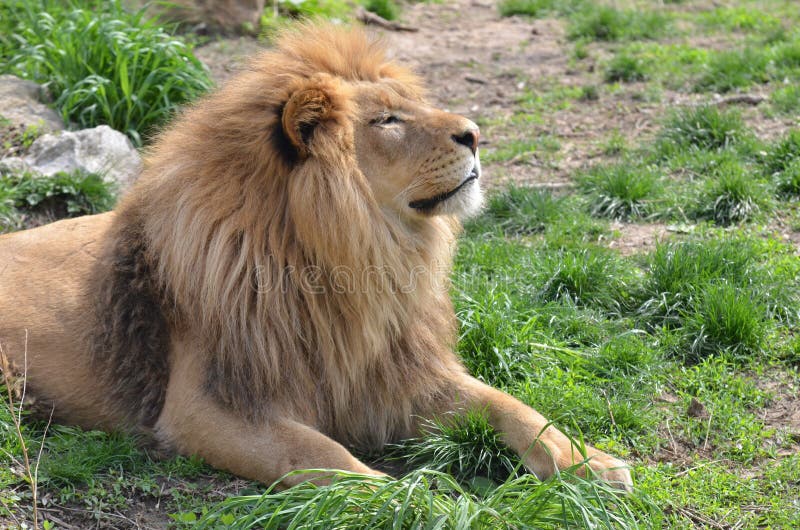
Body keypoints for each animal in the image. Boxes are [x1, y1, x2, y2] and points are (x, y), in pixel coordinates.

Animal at [0, 23, 631, 490]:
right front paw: (401, 497)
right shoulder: (205, 405)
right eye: (387, 120)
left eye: (405, 108)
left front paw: (589, 462)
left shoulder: (395, 373)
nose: (475, 133)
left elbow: (511, 407)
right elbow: (315, 454)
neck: (354, 261)